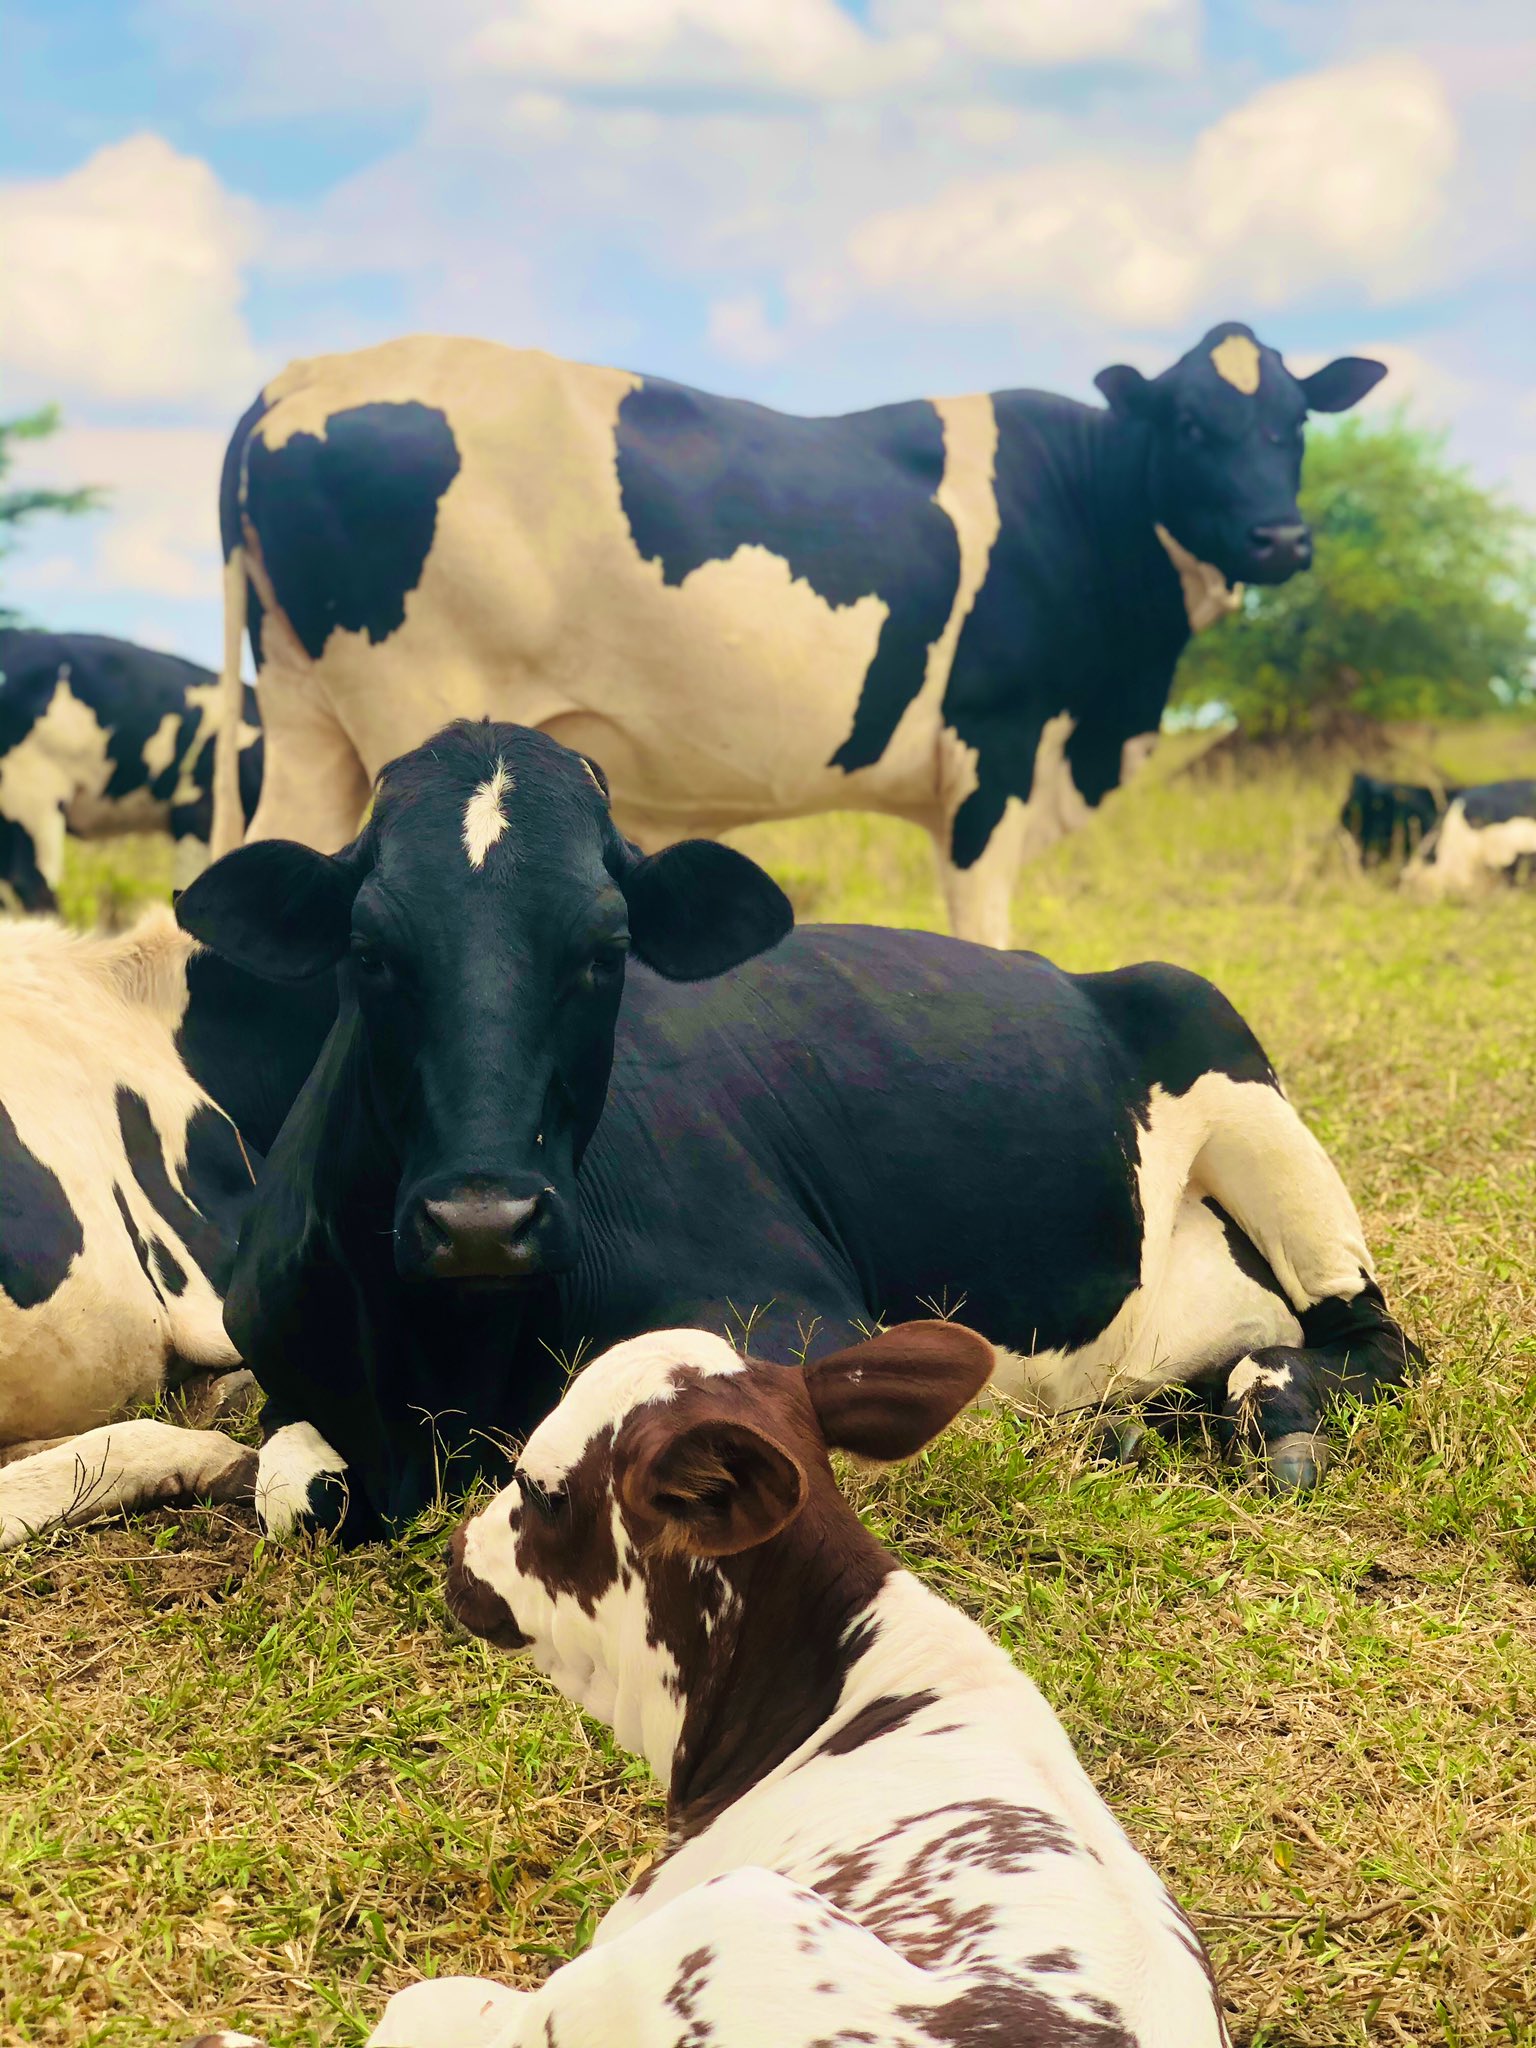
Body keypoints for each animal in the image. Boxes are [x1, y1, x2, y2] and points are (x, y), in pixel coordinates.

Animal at [210, 324, 1385, 946]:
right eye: (1190, 424)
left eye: (1294, 425)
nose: (1282, 537)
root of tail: (309, 373)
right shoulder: (994, 740)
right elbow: (984, 923)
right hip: (412, 716)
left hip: (312, 723)